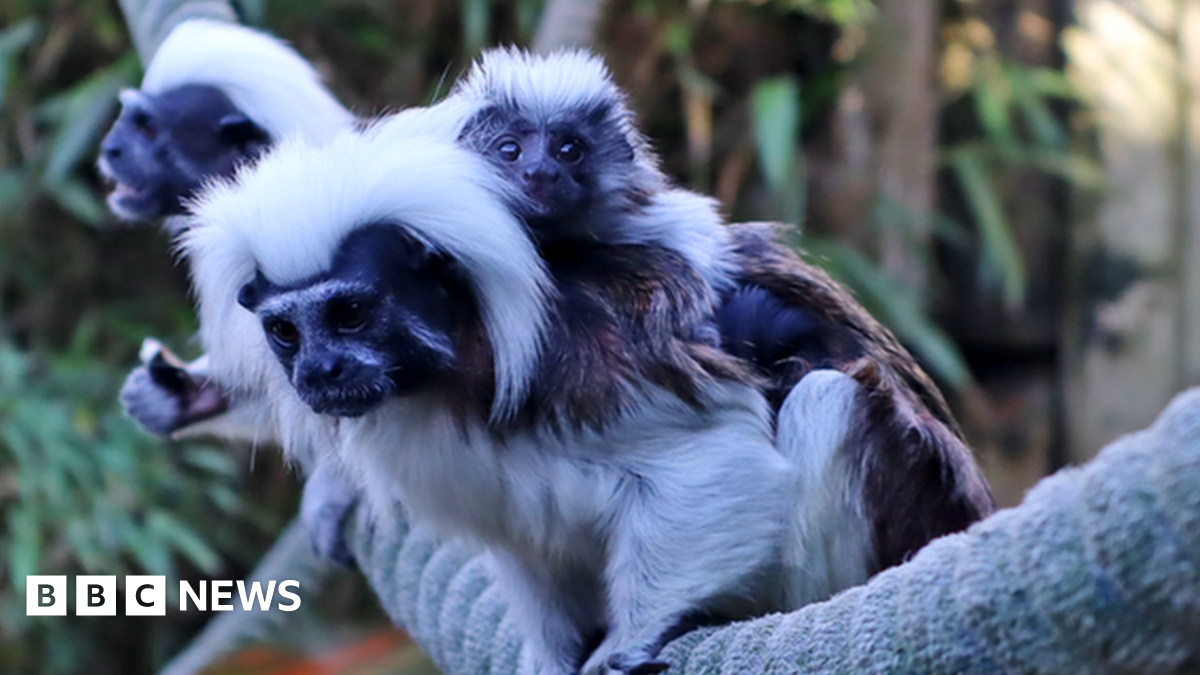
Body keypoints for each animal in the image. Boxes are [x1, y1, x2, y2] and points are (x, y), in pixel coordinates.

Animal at [182, 116, 816, 675]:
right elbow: (524, 536)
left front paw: (634, 641)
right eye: (285, 332)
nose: (320, 370)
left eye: (351, 314)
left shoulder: (590, 357)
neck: (461, 354)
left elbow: (716, 457)